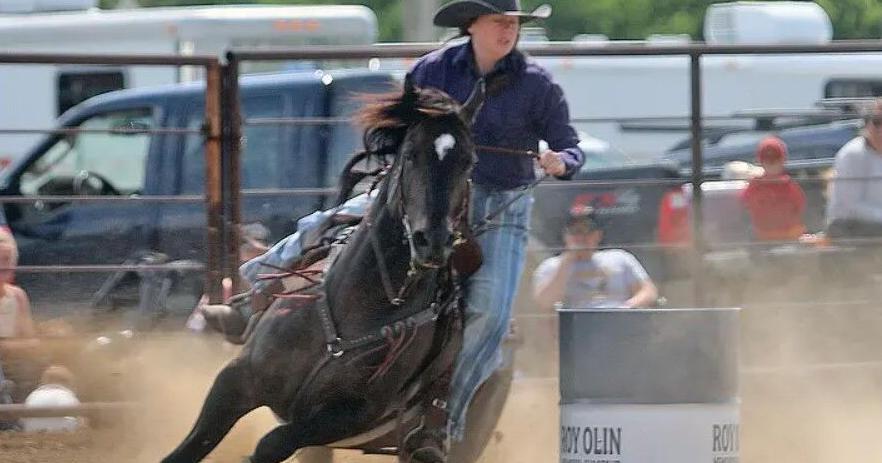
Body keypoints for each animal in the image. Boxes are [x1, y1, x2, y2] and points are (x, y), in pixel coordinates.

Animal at [161, 76, 485, 463]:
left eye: (468, 161)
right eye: (411, 154)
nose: (432, 241)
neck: (356, 314)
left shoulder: (347, 417)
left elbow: (273, 443)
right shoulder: (238, 379)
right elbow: (190, 447)